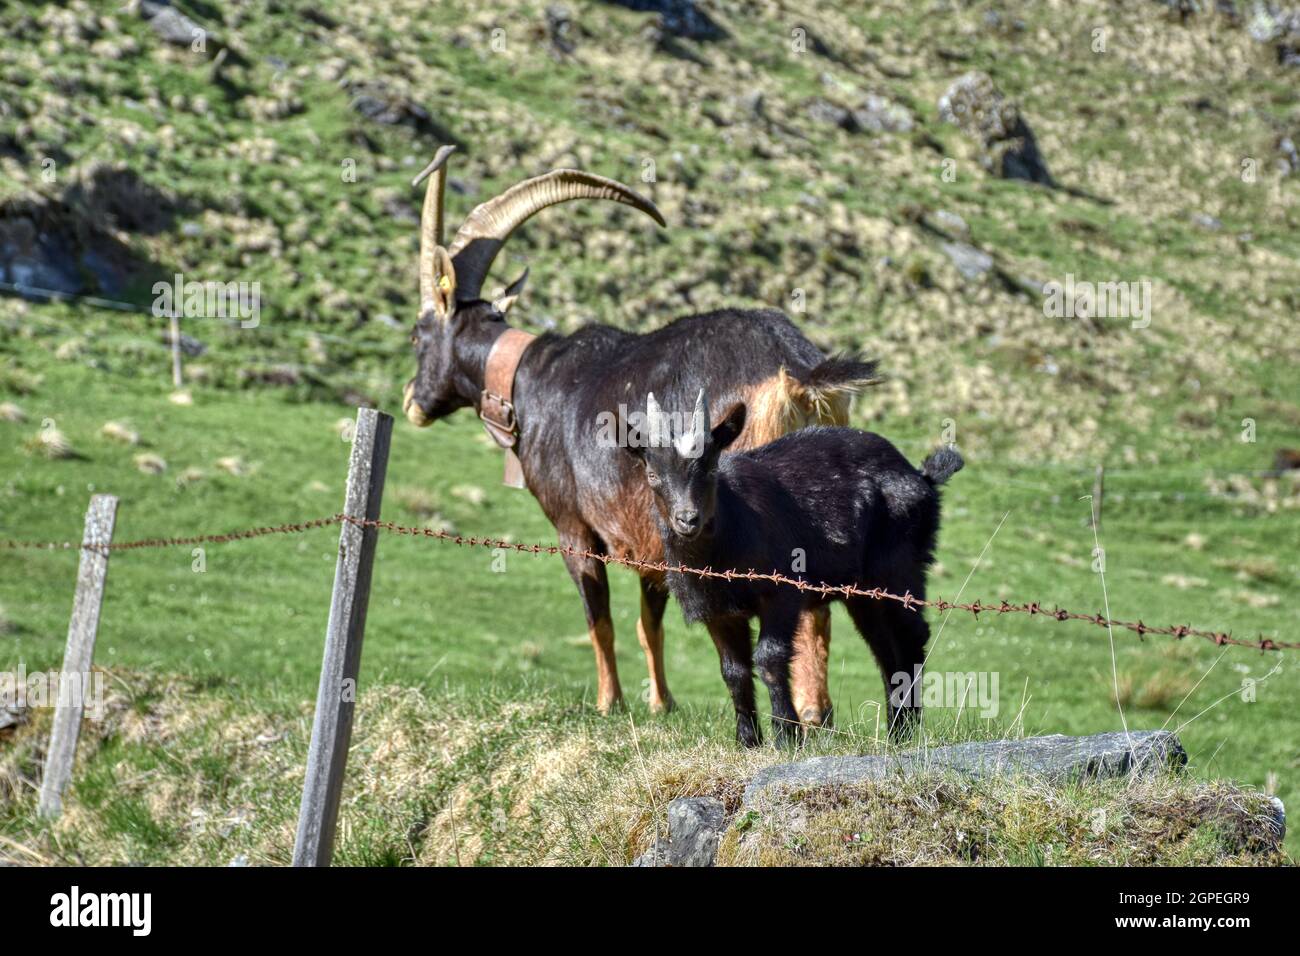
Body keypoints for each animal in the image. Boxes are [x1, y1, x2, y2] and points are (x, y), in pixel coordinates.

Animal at [401, 146, 879, 722]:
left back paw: (807, 713)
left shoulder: (575, 527)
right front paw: (661, 703)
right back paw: (819, 711)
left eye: (418, 333)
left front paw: (610, 702)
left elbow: (599, 618)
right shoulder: (656, 531)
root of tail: (799, 377)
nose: (411, 401)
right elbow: (650, 622)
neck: (529, 380)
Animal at [627, 389, 963, 747]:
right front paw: (748, 740)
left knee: (910, 636)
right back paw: (897, 731)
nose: (688, 519)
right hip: (864, 594)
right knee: (884, 647)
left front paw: (787, 734)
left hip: (899, 569)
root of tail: (922, 477)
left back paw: (905, 732)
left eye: (710, 468)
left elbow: (769, 657)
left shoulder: (781, 593)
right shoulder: (717, 612)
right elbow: (733, 671)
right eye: (652, 474)